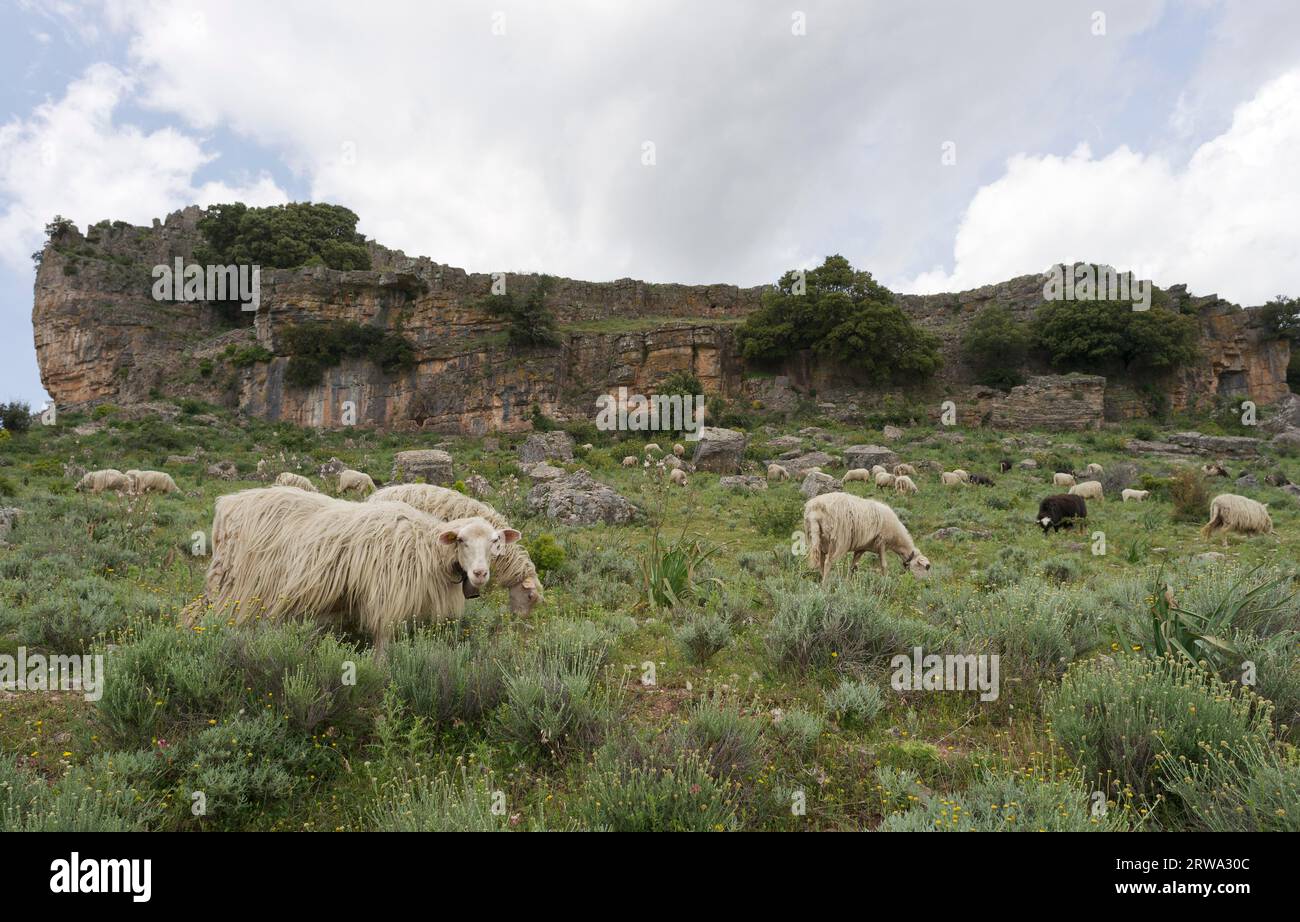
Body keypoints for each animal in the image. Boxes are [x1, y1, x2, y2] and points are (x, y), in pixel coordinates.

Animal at [198, 488, 518, 658]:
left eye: (494, 542)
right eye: (461, 540)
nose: (480, 574)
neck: (426, 548)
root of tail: (228, 502)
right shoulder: (387, 602)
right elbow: (383, 648)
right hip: (238, 588)